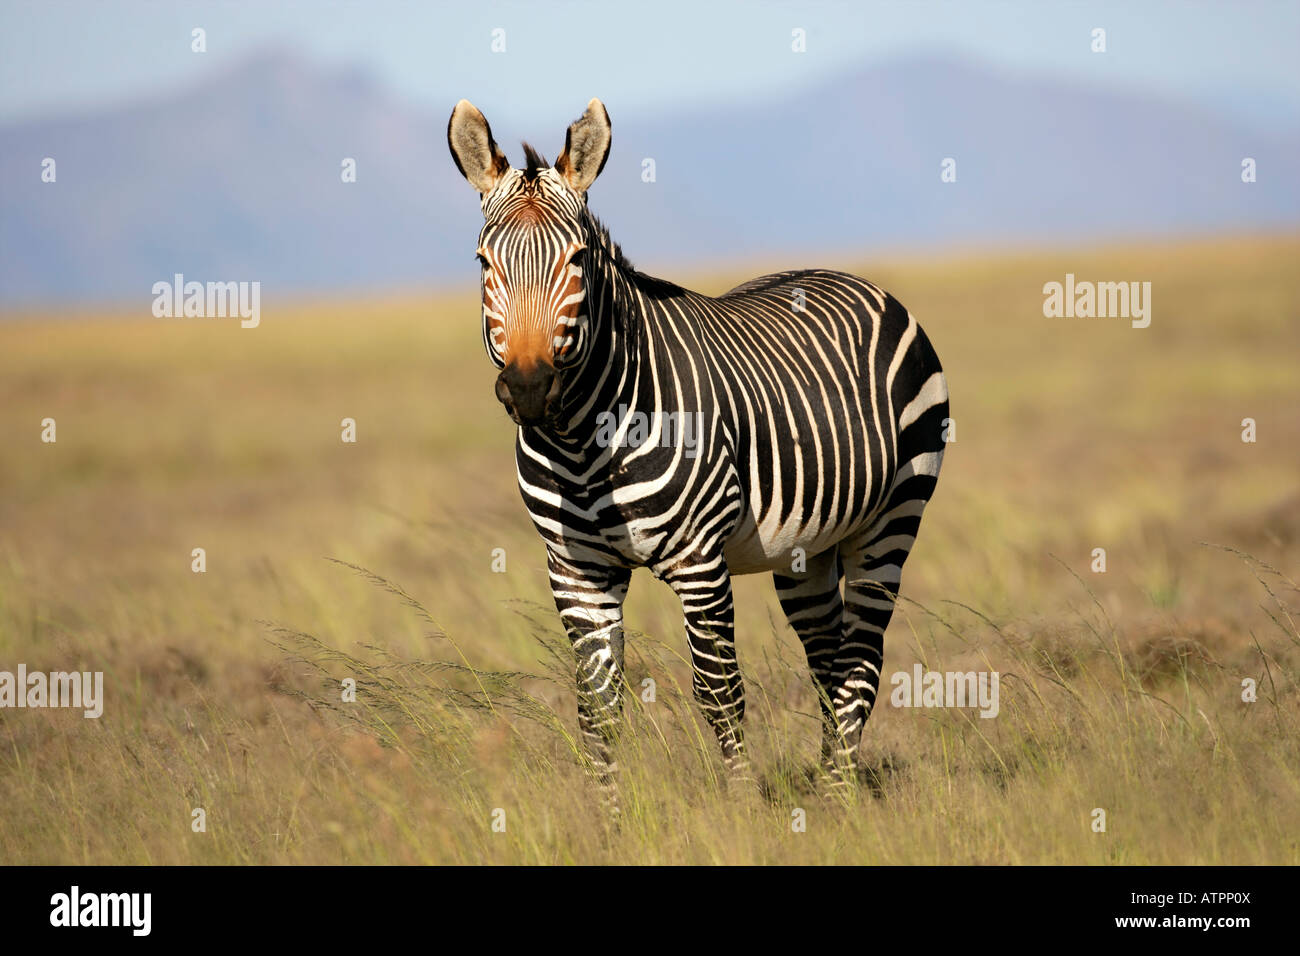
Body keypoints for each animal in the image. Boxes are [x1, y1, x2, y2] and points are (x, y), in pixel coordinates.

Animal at [447, 98, 949, 804]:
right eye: (482, 263)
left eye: (576, 260)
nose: (528, 388)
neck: (582, 443)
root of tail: (854, 277)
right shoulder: (576, 570)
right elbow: (597, 706)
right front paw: (609, 820)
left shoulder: (699, 562)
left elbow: (719, 694)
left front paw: (740, 811)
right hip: (806, 546)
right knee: (828, 658)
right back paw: (830, 789)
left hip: (892, 519)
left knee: (862, 659)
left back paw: (839, 796)